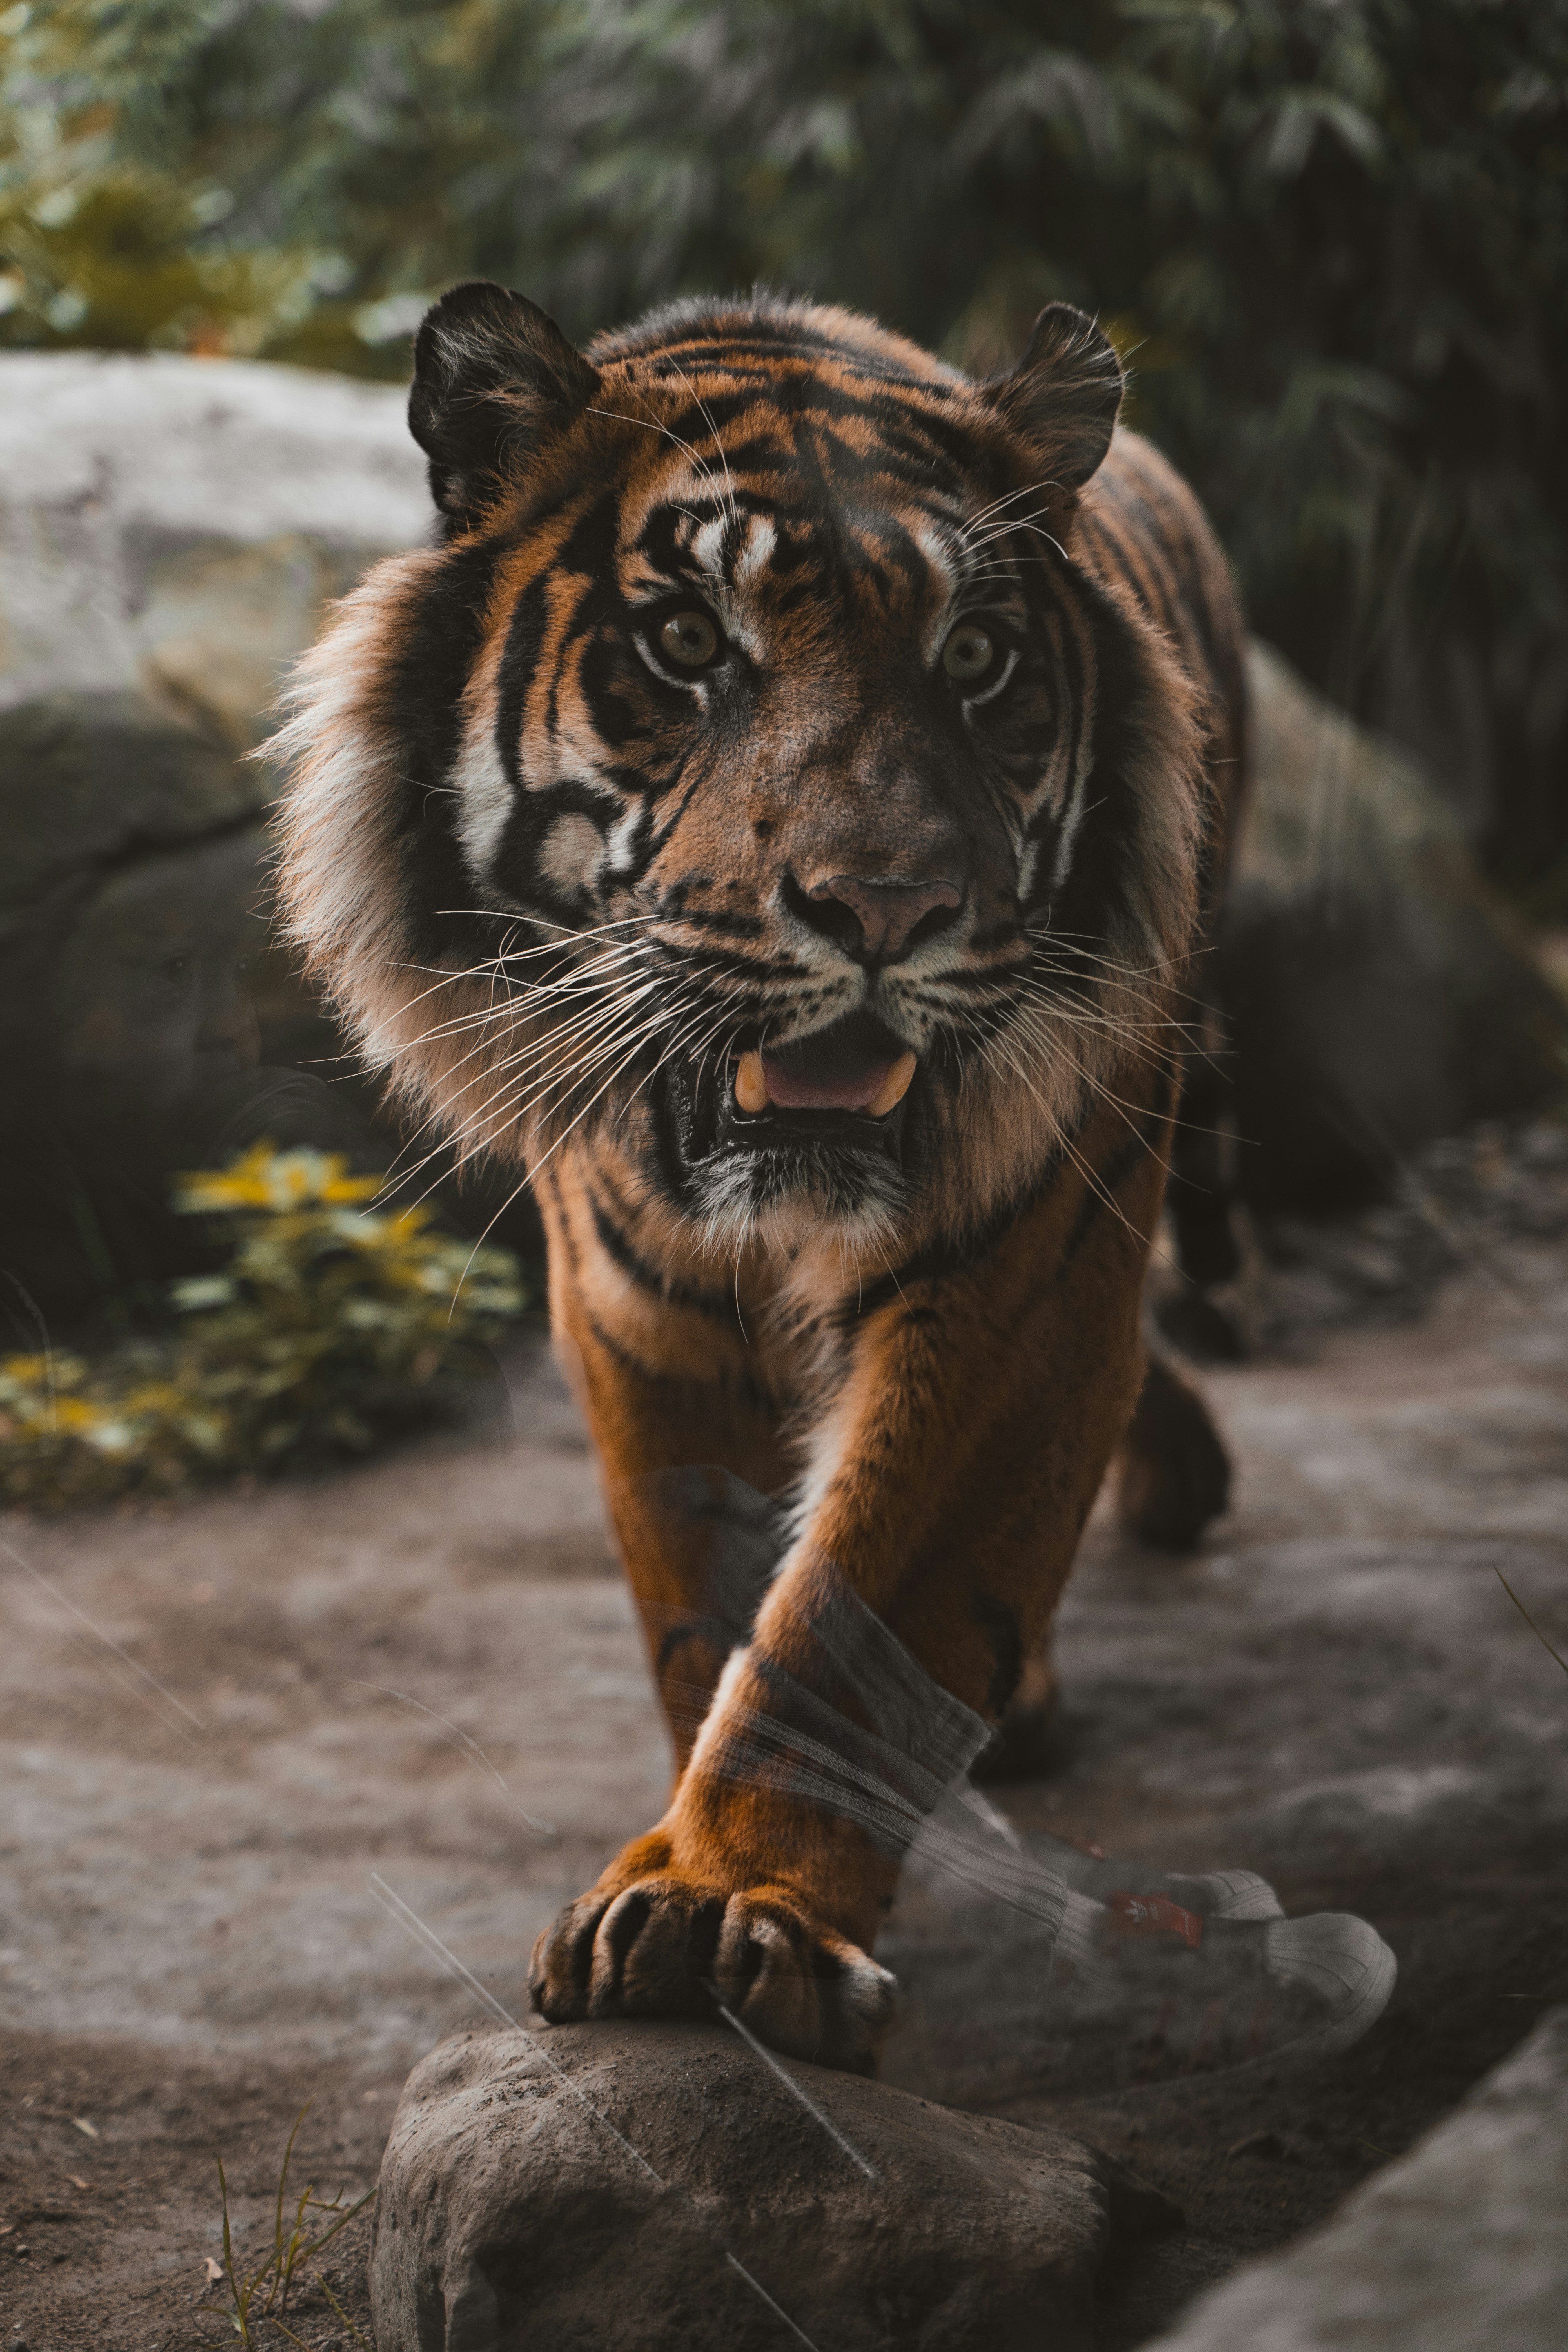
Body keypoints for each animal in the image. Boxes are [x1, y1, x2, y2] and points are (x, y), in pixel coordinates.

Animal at [272, 278, 1247, 2072]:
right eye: (683, 646)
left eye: (975, 660)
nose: (883, 909)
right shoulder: (635, 1308)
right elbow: (709, 1609)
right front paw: (680, 1873)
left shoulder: (1017, 1278)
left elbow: (848, 1623)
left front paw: (738, 1902)